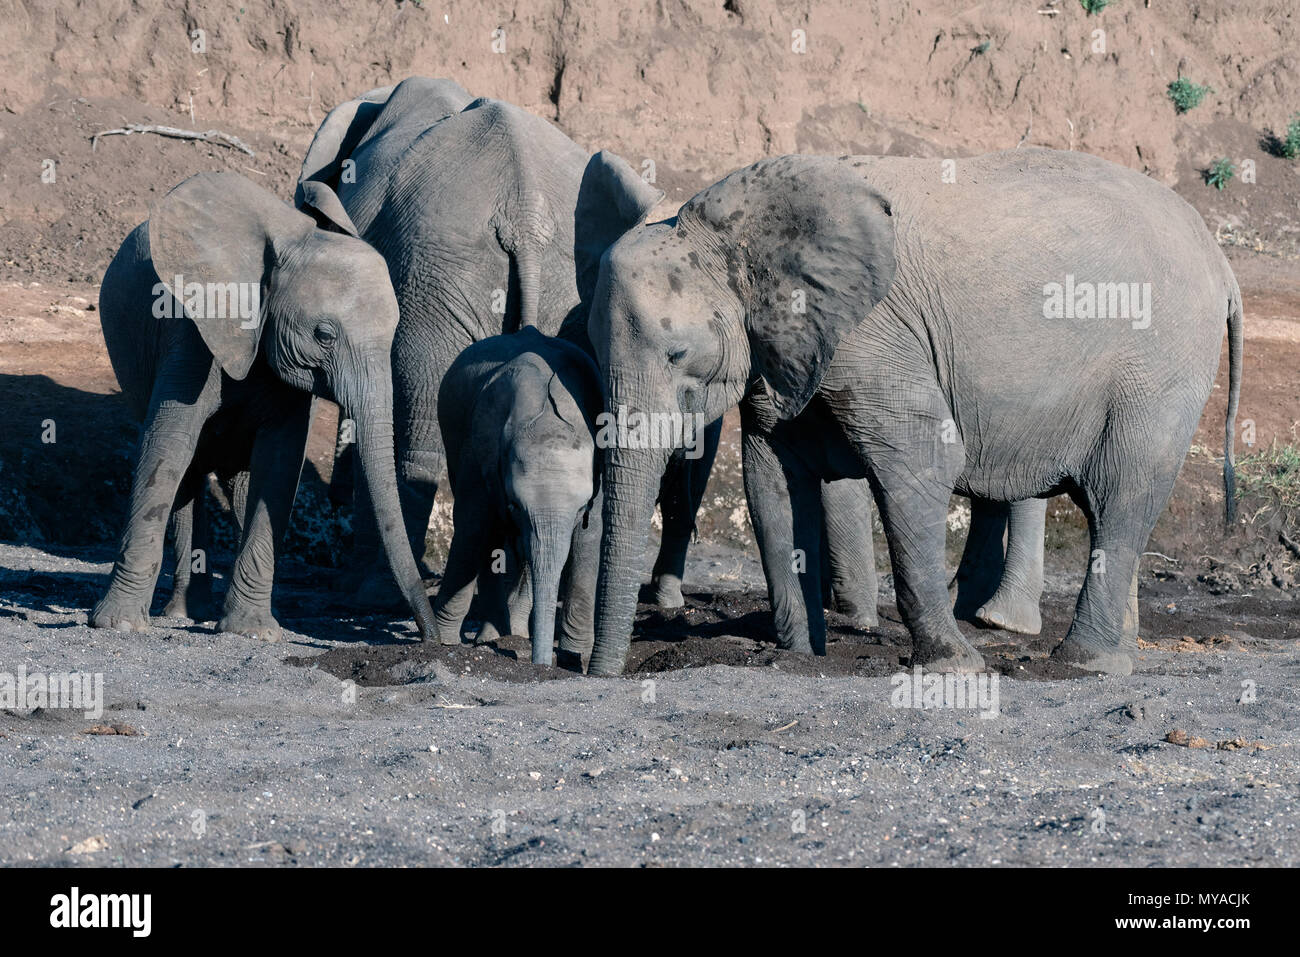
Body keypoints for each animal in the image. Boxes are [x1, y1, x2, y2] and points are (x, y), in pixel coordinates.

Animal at [90, 171, 437, 642]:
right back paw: (184, 614)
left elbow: (280, 463)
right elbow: (166, 447)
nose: (428, 638)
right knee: (188, 474)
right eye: (324, 335)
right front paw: (119, 624)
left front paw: (251, 632)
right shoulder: (191, 333)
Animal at [433, 327, 602, 667]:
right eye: (516, 505)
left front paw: (575, 657)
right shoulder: (480, 444)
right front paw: (442, 644)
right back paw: (492, 637)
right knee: (492, 535)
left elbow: (590, 537)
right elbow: (472, 525)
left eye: (580, 510)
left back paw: (507, 635)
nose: (542, 667)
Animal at [585, 149, 1241, 677]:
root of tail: (1218, 258)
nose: (599, 675)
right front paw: (801, 656)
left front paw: (955, 666)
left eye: (677, 355)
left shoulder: (873, 335)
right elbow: (771, 482)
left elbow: (923, 461)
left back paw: (1085, 664)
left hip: (1160, 369)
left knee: (1121, 493)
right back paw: (1118, 657)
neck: (727, 226)